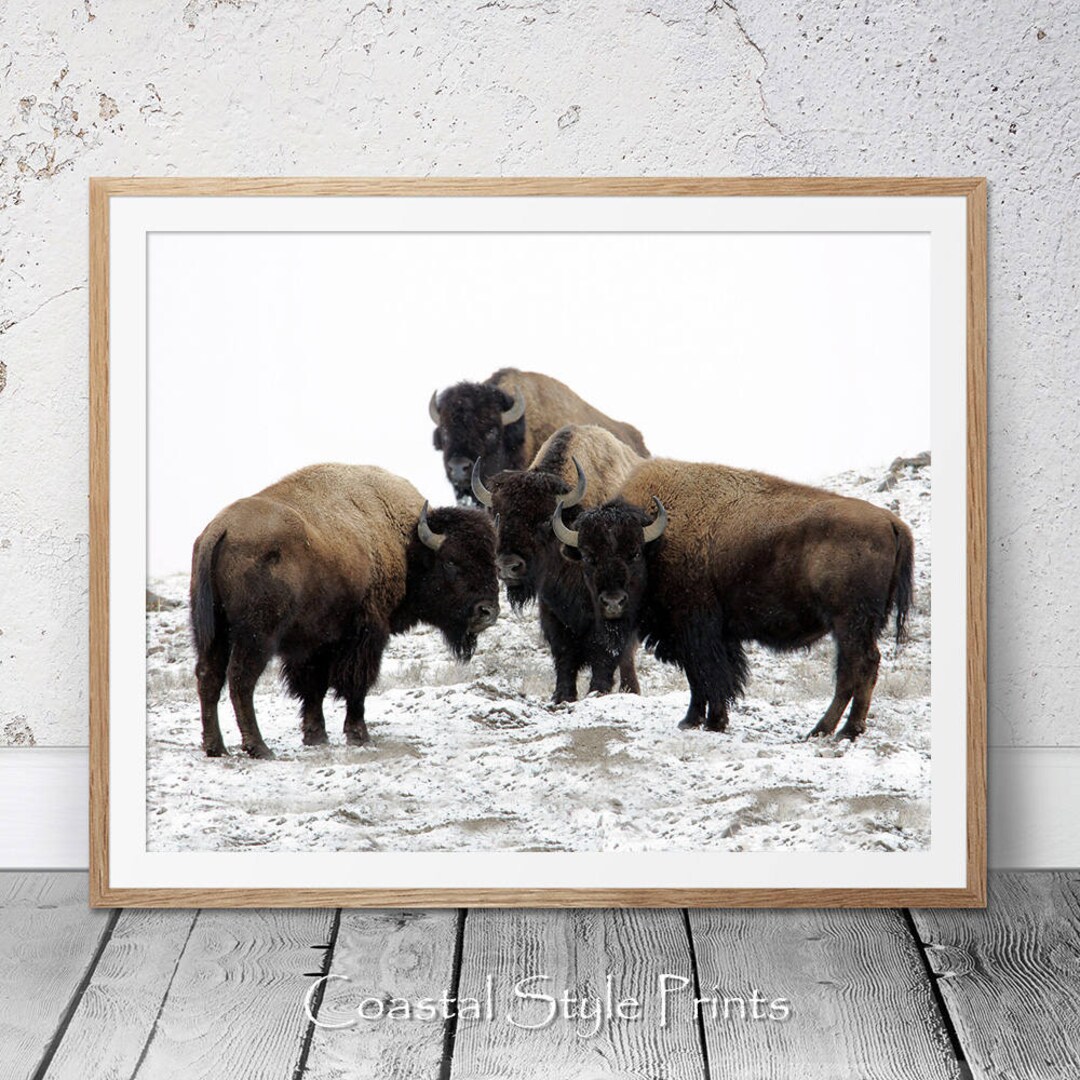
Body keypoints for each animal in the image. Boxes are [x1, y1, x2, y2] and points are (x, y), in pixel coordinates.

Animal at [190, 464, 498, 758]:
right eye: (451, 561)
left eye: (492, 559)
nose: (487, 612)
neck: (407, 544)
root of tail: (220, 530)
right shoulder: (366, 635)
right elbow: (356, 685)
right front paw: (358, 735)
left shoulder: (314, 644)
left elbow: (313, 689)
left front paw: (316, 737)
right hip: (256, 637)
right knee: (240, 680)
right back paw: (259, 748)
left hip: (213, 633)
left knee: (209, 677)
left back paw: (215, 747)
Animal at [471, 425, 645, 702]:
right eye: (498, 515)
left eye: (544, 520)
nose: (508, 566)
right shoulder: (552, 608)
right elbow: (563, 653)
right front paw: (562, 696)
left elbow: (605, 650)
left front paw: (597, 690)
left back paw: (630, 690)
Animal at [553, 459, 914, 740]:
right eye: (588, 557)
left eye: (634, 554)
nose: (613, 603)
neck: (659, 539)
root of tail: (892, 522)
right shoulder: (707, 635)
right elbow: (706, 677)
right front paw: (698, 721)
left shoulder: (696, 631)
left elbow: (707, 674)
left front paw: (707, 722)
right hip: (856, 626)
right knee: (860, 667)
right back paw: (837, 730)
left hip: (849, 623)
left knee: (856, 668)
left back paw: (833, 731)